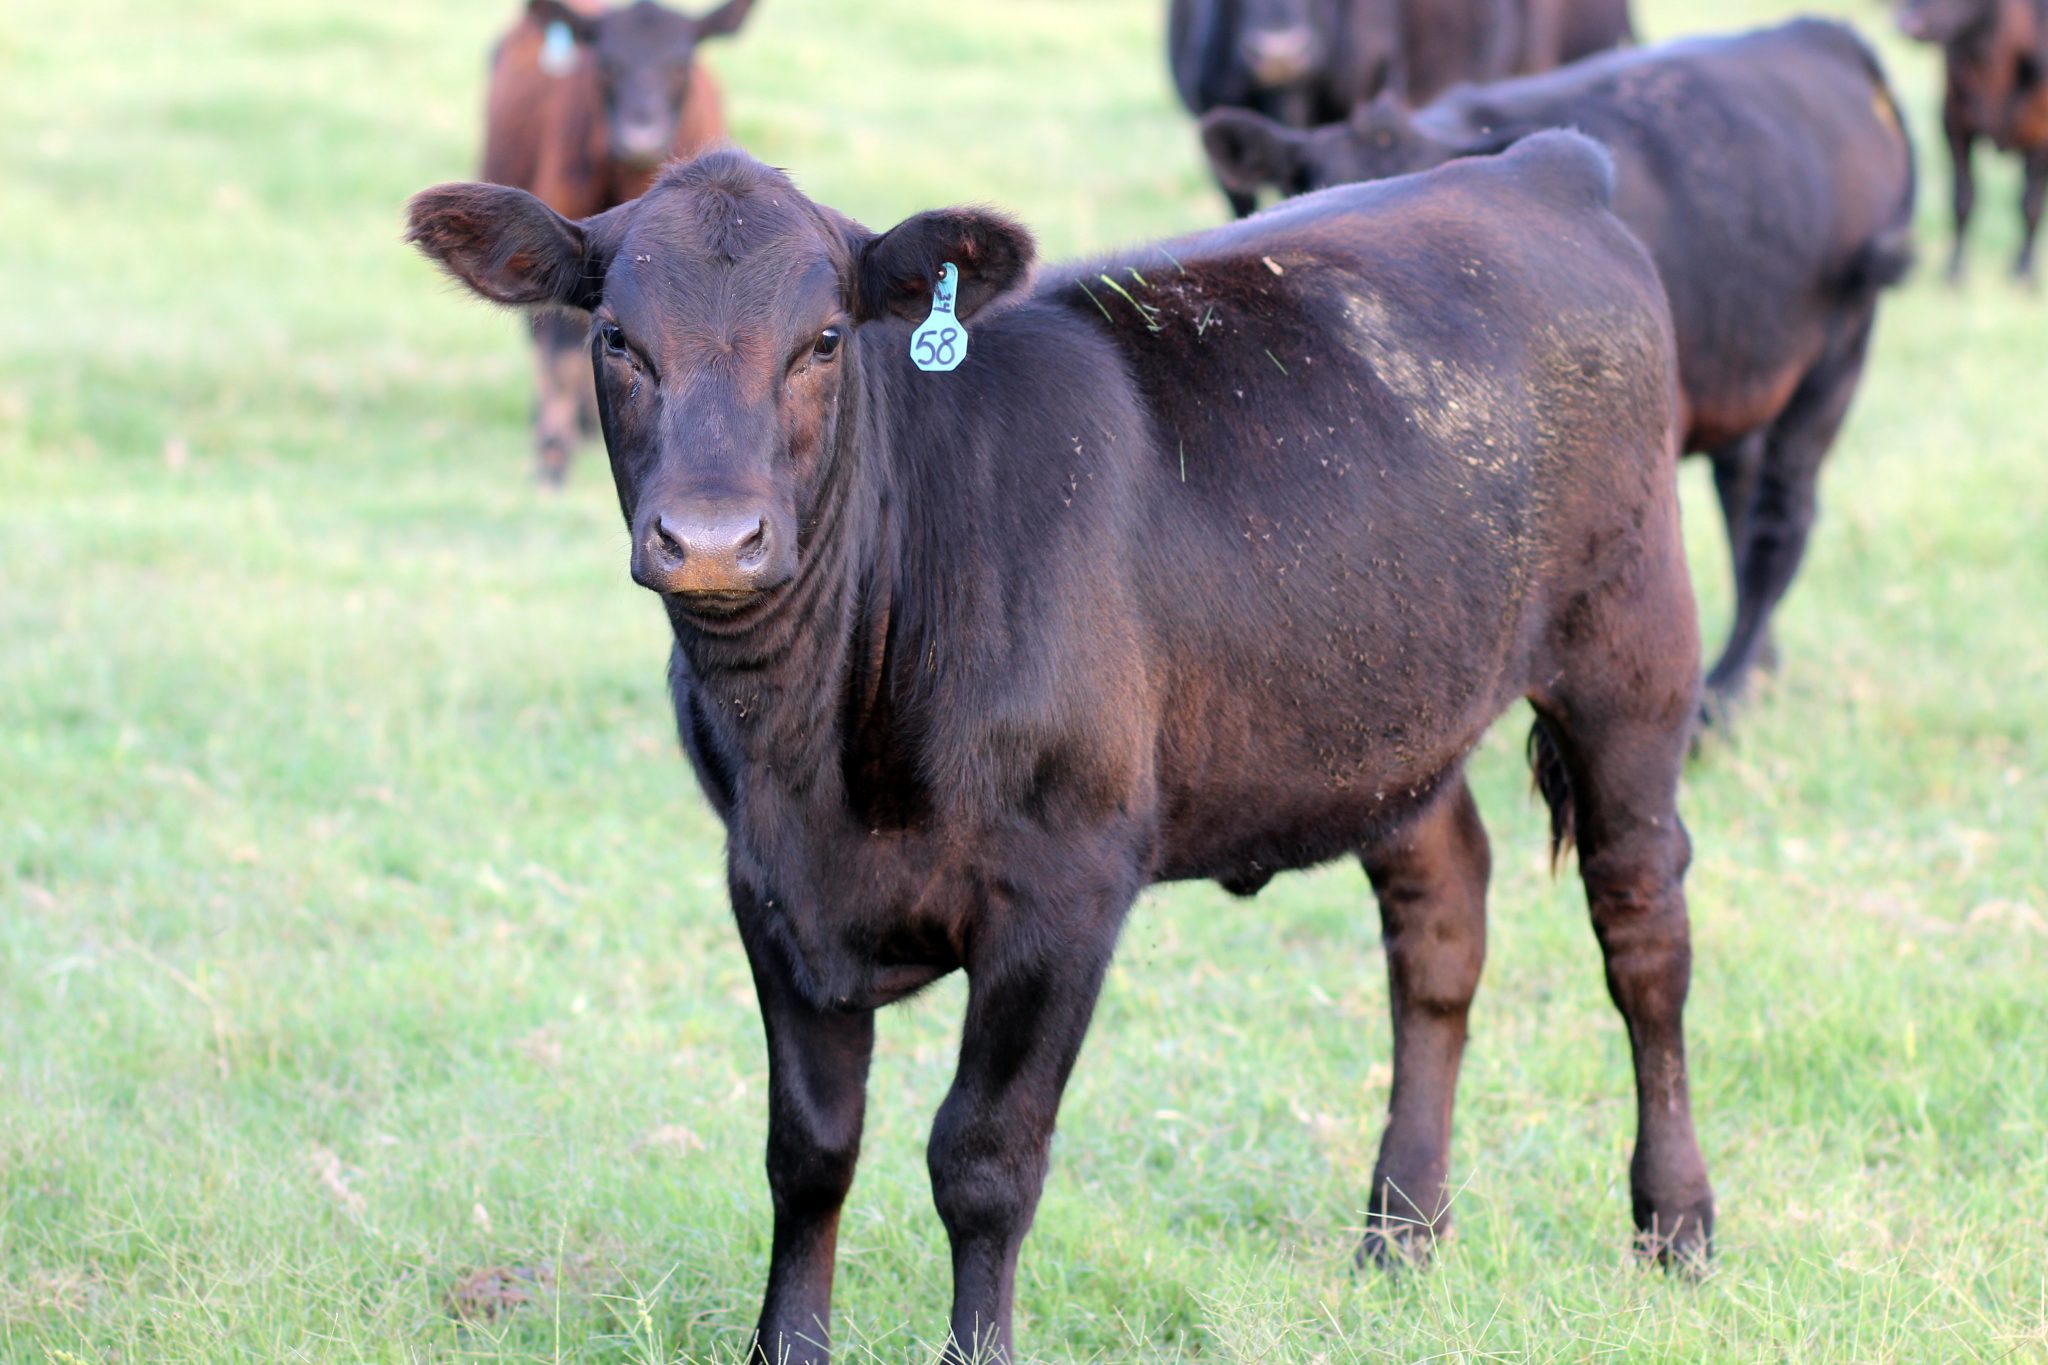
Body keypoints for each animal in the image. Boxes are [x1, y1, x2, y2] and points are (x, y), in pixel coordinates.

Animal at [407, 131, 1714, 1363]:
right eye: (616, 340)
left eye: (822, 341)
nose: (713, 539)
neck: (820, 752)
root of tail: (1537, 166)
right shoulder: (767, 889)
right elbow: (808, 1151)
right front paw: (781, 1346)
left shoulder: (1062, 893)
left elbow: (982, 1161)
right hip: (1384, 713)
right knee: (1439, 923)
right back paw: (1398, 1235)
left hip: (1631, 646)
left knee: (1641, 931)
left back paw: (1675, 1230)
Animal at [1200, 19, 1916, 717]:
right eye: (1299, 184)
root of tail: (1825, 33)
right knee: (1743, 501)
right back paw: (1759, 666)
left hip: (1836, 353)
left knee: (1778, 522)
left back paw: (1729, 690)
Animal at [1897, 0, 2048, 282]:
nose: (1908, 23)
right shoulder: (1953, 123)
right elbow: (1962, 198)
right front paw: (1954, 269)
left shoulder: (2040, 138)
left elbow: (2031, 204)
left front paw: (2023, 270)